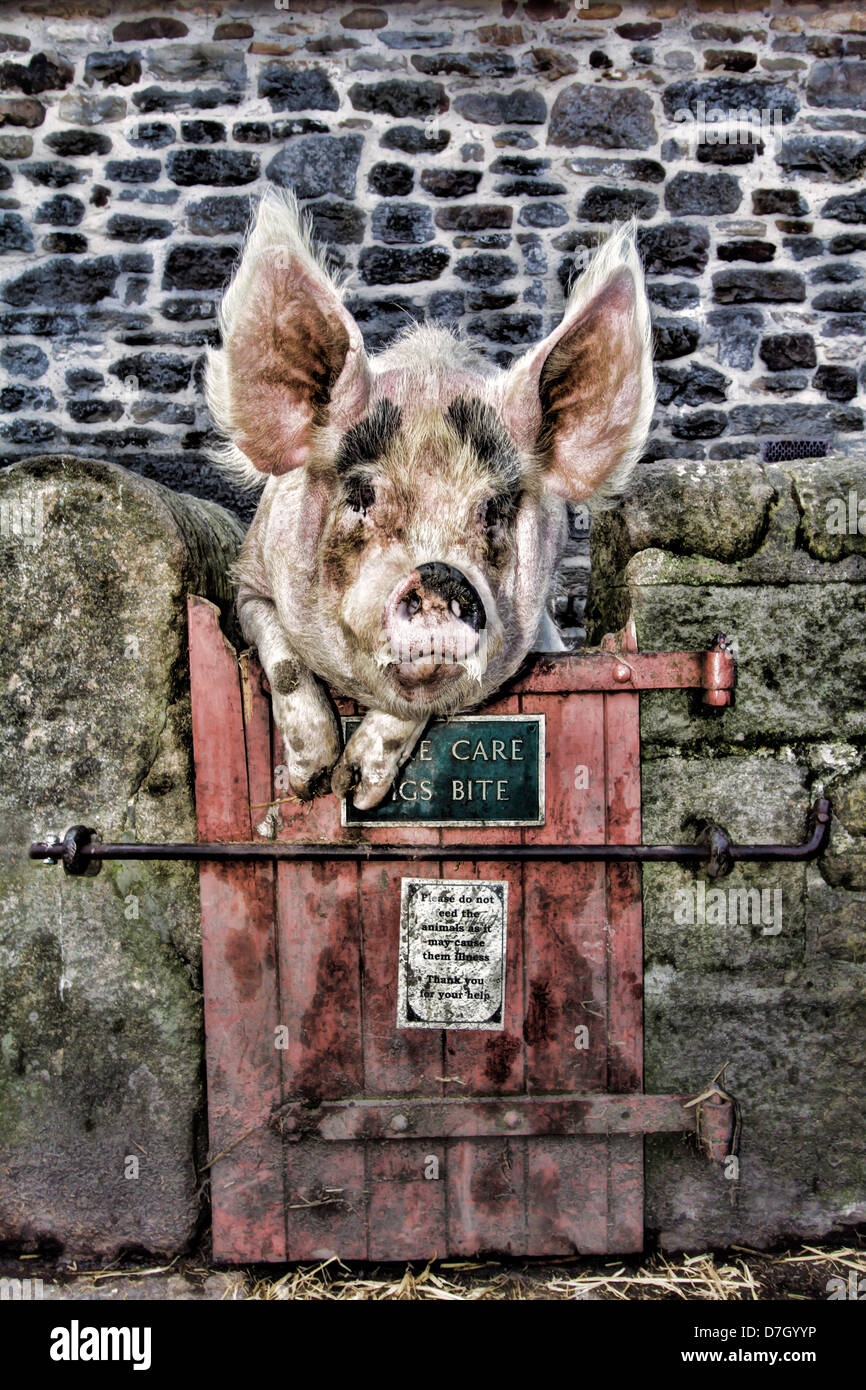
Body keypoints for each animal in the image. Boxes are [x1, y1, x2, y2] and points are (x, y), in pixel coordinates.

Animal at [205, 192, 654, 809]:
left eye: (493, 509)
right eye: (362, 494)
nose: (442, 576)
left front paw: (356, 790)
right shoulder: (247, 577)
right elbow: (284, 656)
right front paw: (312, 781)